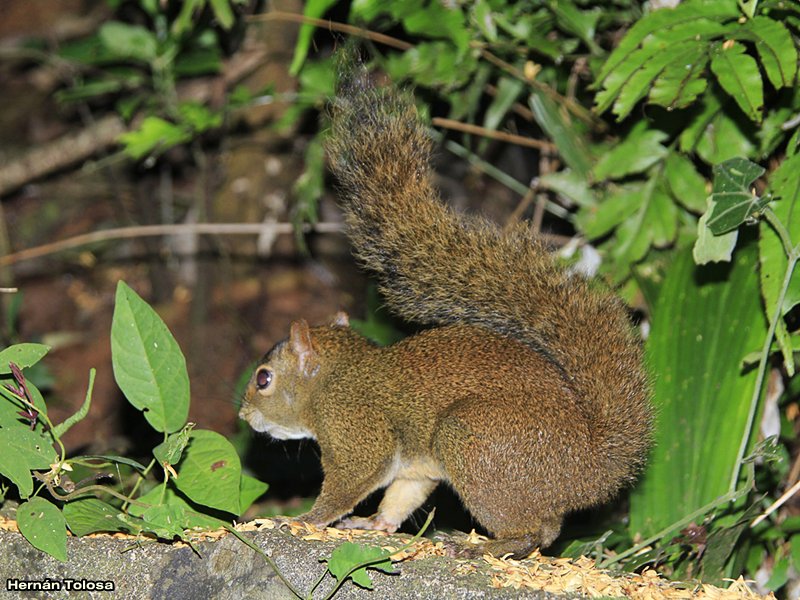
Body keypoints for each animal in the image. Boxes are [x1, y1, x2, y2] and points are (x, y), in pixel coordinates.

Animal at [239, 58, 653, 559]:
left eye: (264, 379)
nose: (243, 415)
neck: (337, 377)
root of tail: (591, 468)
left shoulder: (357, 428)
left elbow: (351, 481)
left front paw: (304, 519)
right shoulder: (415, 469)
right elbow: (401, 495)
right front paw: (374, 525)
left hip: (473, 440)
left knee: (537, 531)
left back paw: (481, 547)